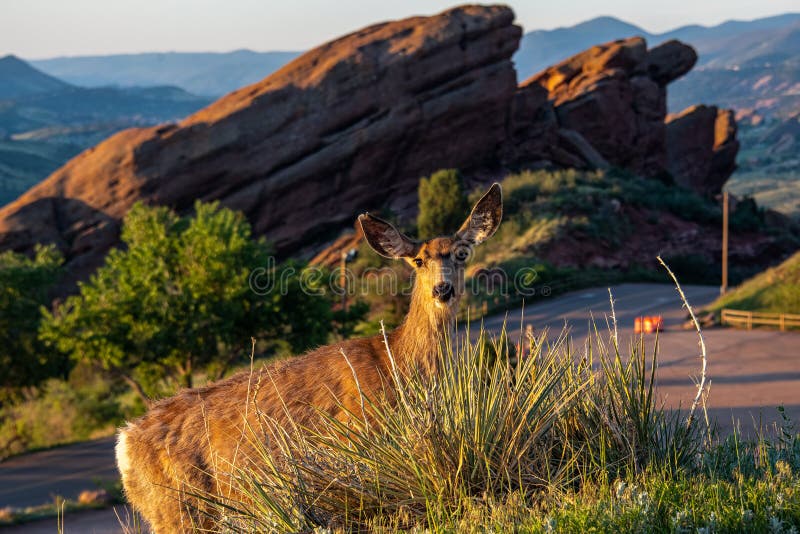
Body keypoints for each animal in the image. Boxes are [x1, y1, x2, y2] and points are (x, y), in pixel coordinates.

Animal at [116, 183, 502, 533]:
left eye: (462, 253)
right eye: (418, 260)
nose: (442, 289)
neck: (397, 363)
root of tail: (124, 444)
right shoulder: (357, 440)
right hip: (179, 506)